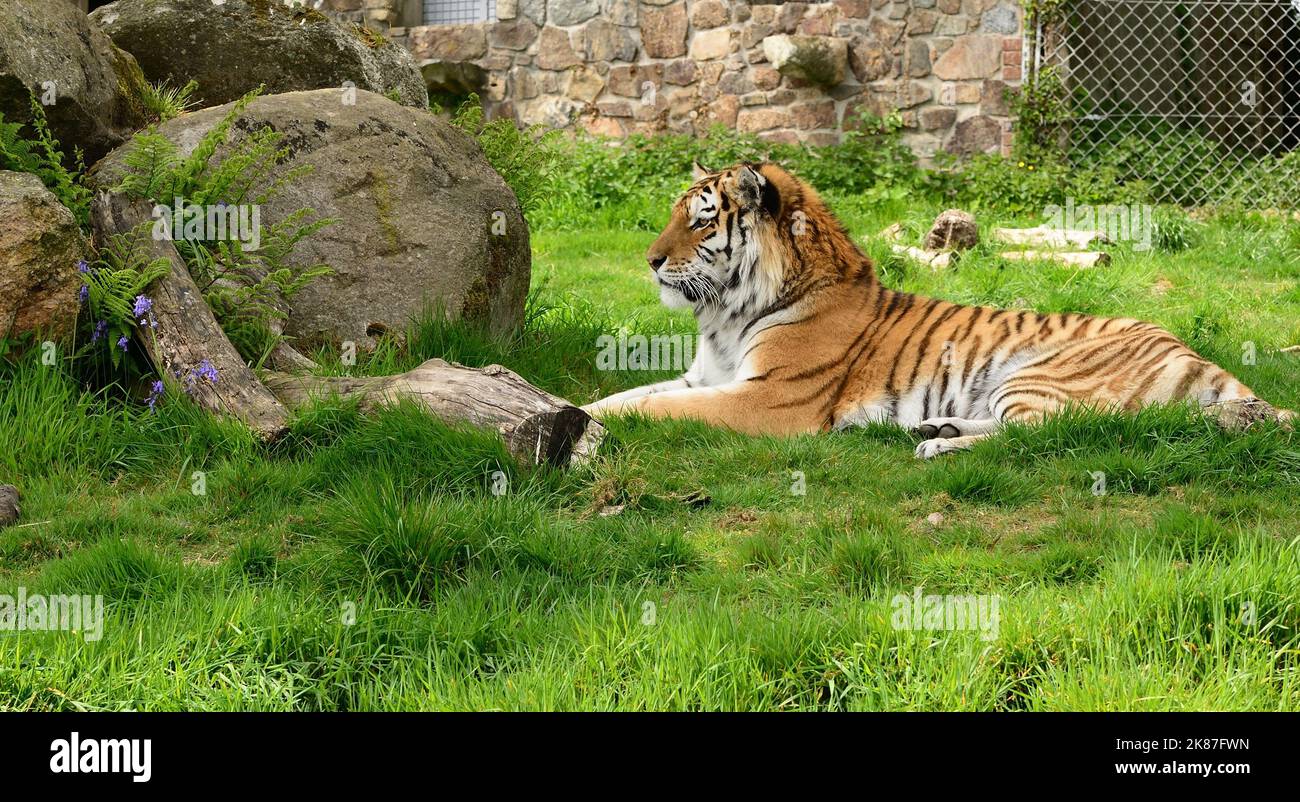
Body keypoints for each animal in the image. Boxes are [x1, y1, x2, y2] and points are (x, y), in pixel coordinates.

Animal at [582, 161, 1293, 457]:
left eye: (702, 221)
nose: (650, 259)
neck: (728, 315)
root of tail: (1191, 351)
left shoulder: (766, 399)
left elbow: (653, 409)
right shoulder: (703, 377)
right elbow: (623, 395)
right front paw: (578, 411)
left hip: (1034, 376)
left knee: (1052, 434)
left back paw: (935, 445)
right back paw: (936, 426)